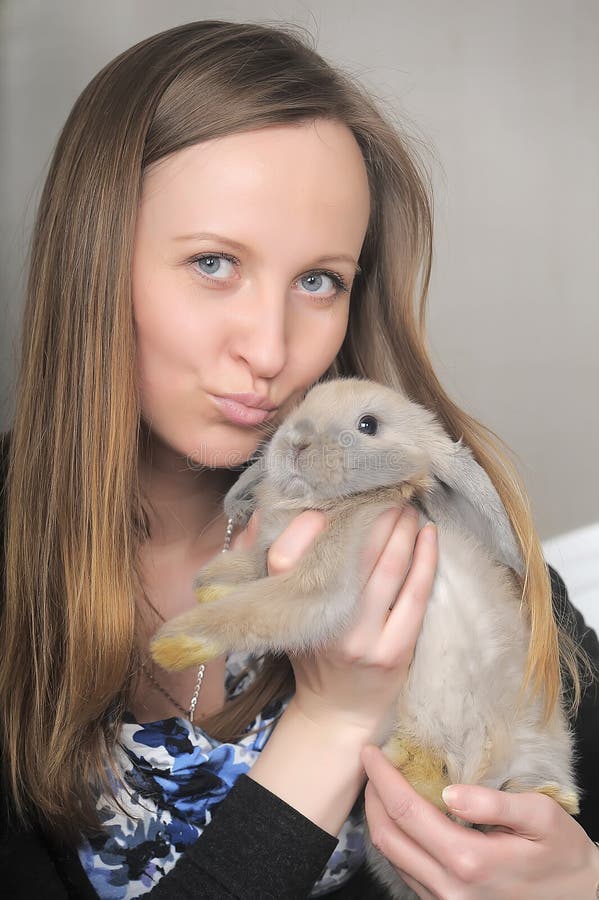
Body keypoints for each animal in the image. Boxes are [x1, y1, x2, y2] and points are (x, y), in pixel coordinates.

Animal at [151, 376, 579, 900]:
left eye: (368, 425)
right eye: (305, 403)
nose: (294, 441)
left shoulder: (321, 581)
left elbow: (260, 607)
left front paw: (174, 643)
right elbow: (253, 566)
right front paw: (210, 582)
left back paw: (537, 793)